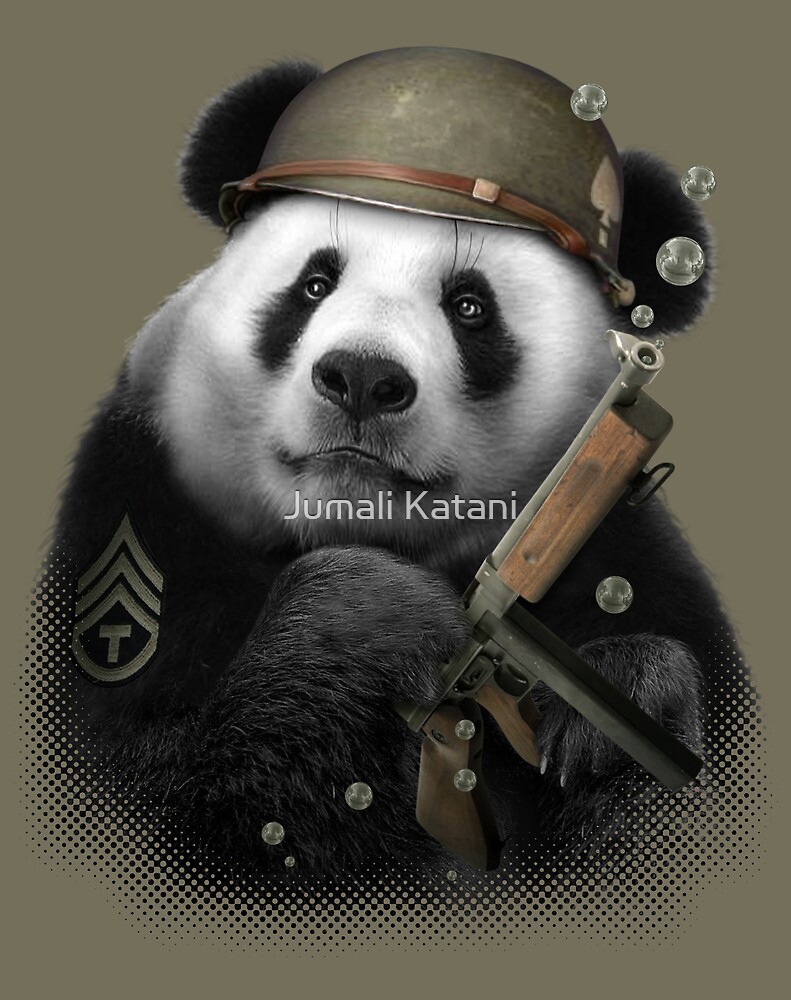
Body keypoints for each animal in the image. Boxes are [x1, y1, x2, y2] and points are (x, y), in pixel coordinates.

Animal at [48, 56, 734, 880]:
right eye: (314, 284)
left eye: (470, 307)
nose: (363, 379)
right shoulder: (138, 510)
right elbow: (152, 774)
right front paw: (372, 619)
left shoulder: (630, 557)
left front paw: (614, 717)